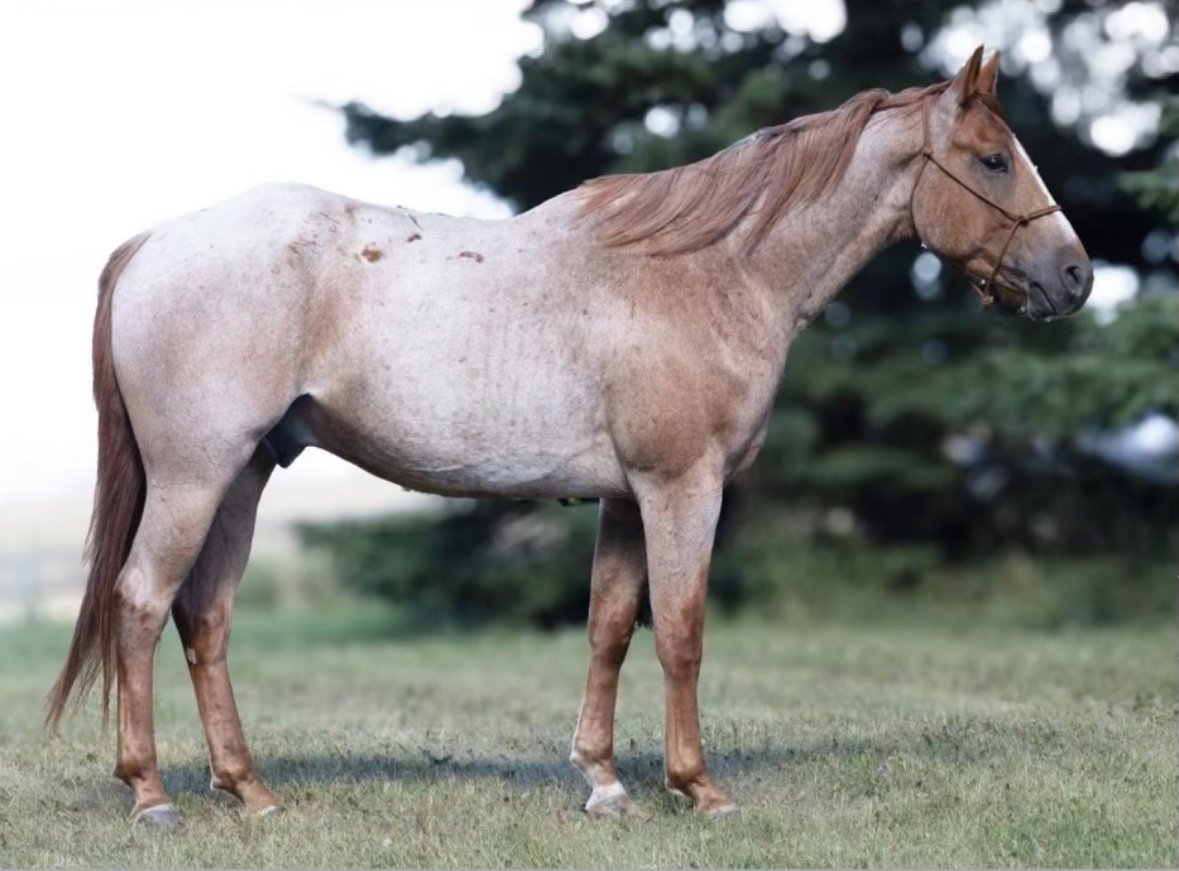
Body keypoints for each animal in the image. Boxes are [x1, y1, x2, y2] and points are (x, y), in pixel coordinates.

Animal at [46, 46, 1091, 824]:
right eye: (993, 159)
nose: (1075, 276)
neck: (709, 270)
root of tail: (156, 241)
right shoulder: (681, 487)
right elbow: (680, 631)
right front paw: (697, 787)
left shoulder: (627, 497)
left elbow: (609, 628)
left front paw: (604, 780)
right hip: (195, 476)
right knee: (142, 603)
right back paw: (151, 795)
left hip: (244, 475)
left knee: (206, 617)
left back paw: (250, 791)